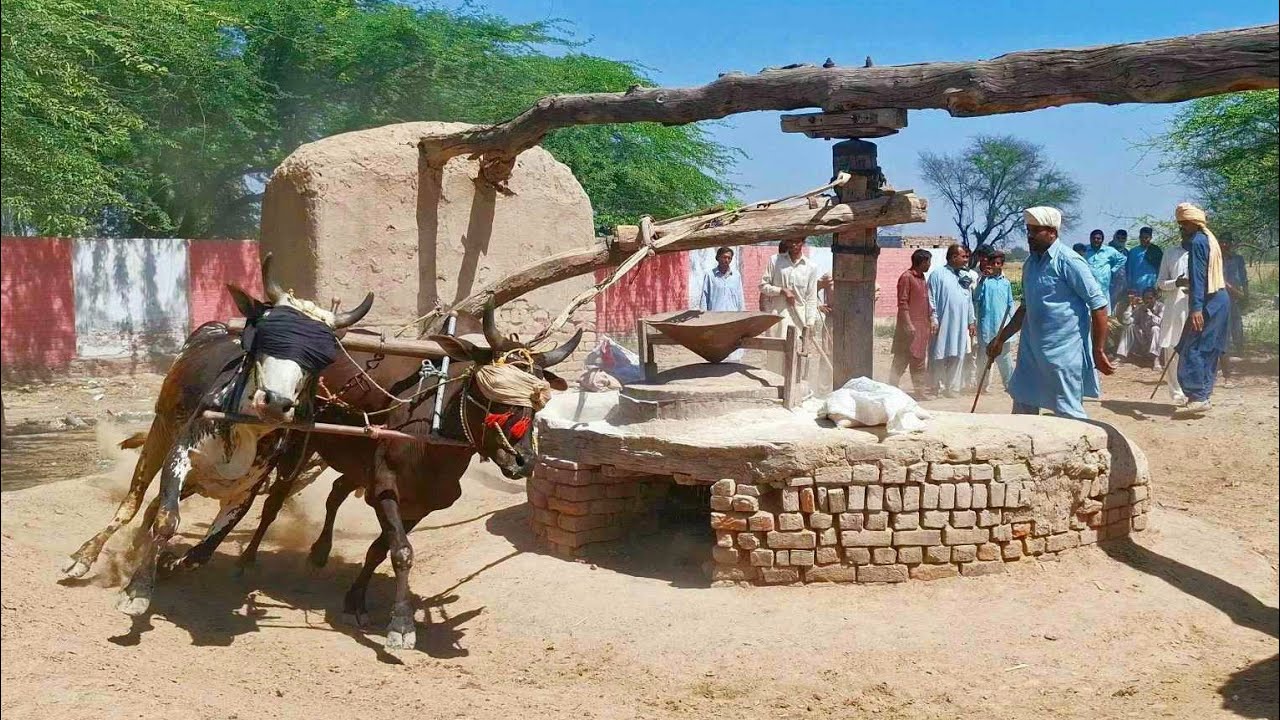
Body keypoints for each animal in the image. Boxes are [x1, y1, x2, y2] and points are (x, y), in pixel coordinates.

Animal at [60, 255, 373, 618]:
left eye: (319, 356)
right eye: (266, 337)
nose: (275, 402)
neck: (244, 428)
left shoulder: (245, 491)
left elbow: (203, 552)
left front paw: (167, 563)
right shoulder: (180, 456)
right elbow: (167, 521)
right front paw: (138, 589)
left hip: (200, 479)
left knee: (151, 506)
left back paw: (138, 547)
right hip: (160, 432)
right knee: (132, 504)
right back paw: (83, 558)